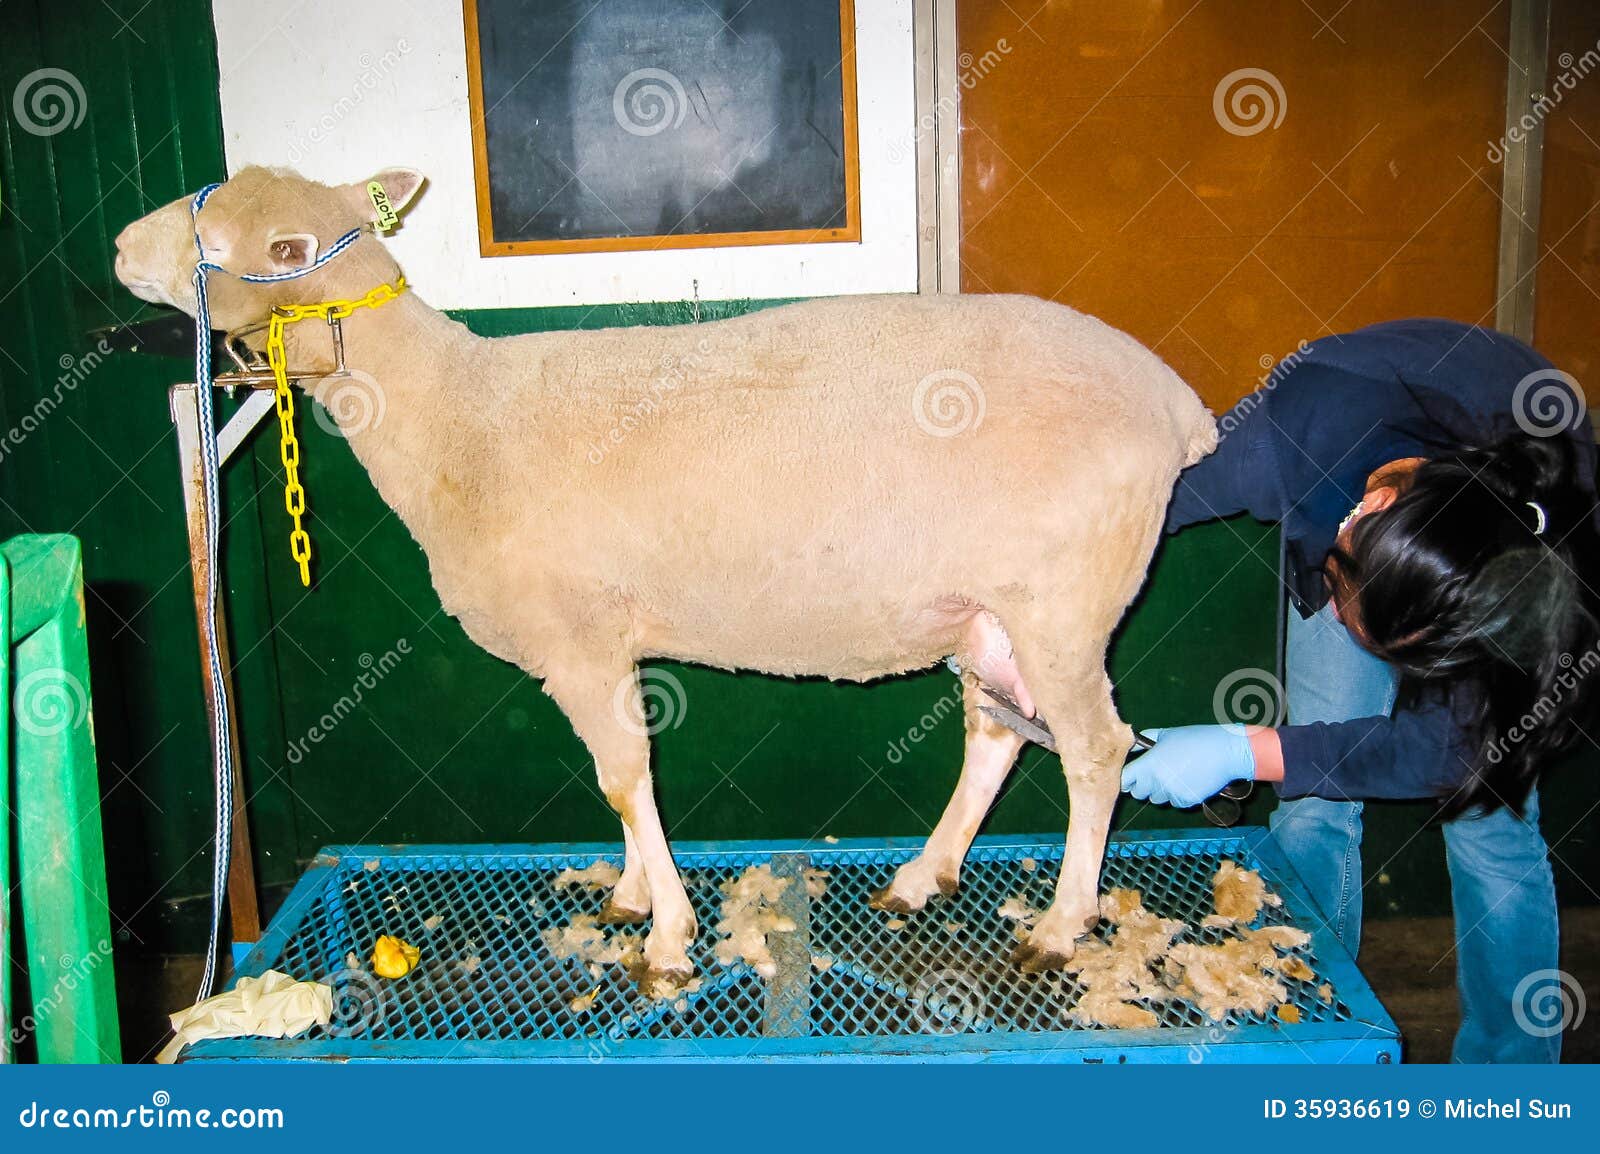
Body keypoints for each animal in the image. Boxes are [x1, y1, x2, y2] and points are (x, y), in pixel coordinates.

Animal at [114, 166, 1217, 994]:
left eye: (241, 233)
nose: (123, 244)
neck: (456, 420)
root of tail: (1177, 405)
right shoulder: (597, 646)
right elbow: (624, 780)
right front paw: (639, 896)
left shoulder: (580, 637)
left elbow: (622, 775)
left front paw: (667, 937)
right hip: (992, 611)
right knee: (996, 732)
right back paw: (920, 876)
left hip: (1064, 603)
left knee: (1094, 750)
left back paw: (1062, 926)